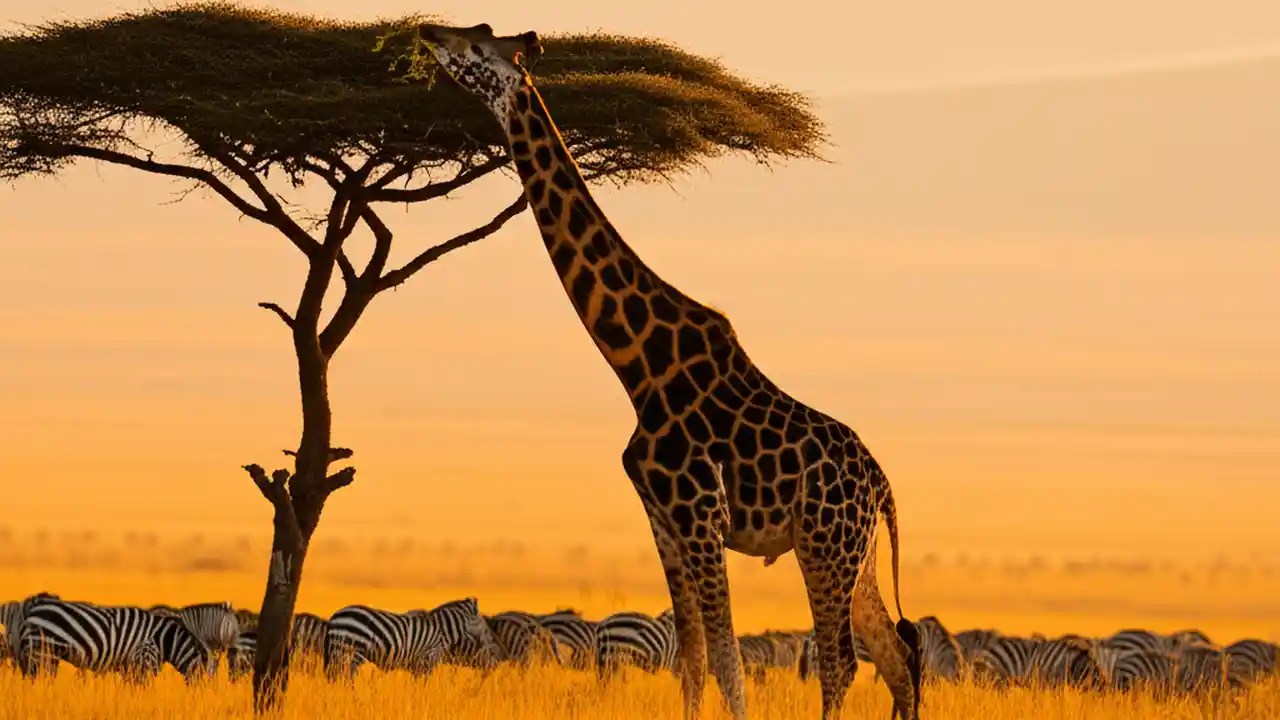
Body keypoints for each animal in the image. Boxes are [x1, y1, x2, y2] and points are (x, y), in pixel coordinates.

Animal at [415, 24, 923, 720]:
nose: (427, 31)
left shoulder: (700, 512)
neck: (639, 366)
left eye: (477, 45)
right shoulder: (661, 517)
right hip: (855, 555)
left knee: (843, 662)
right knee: (896, 660)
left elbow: (730, 663)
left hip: (824, 544)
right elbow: (694, 660)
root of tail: (882, 485)